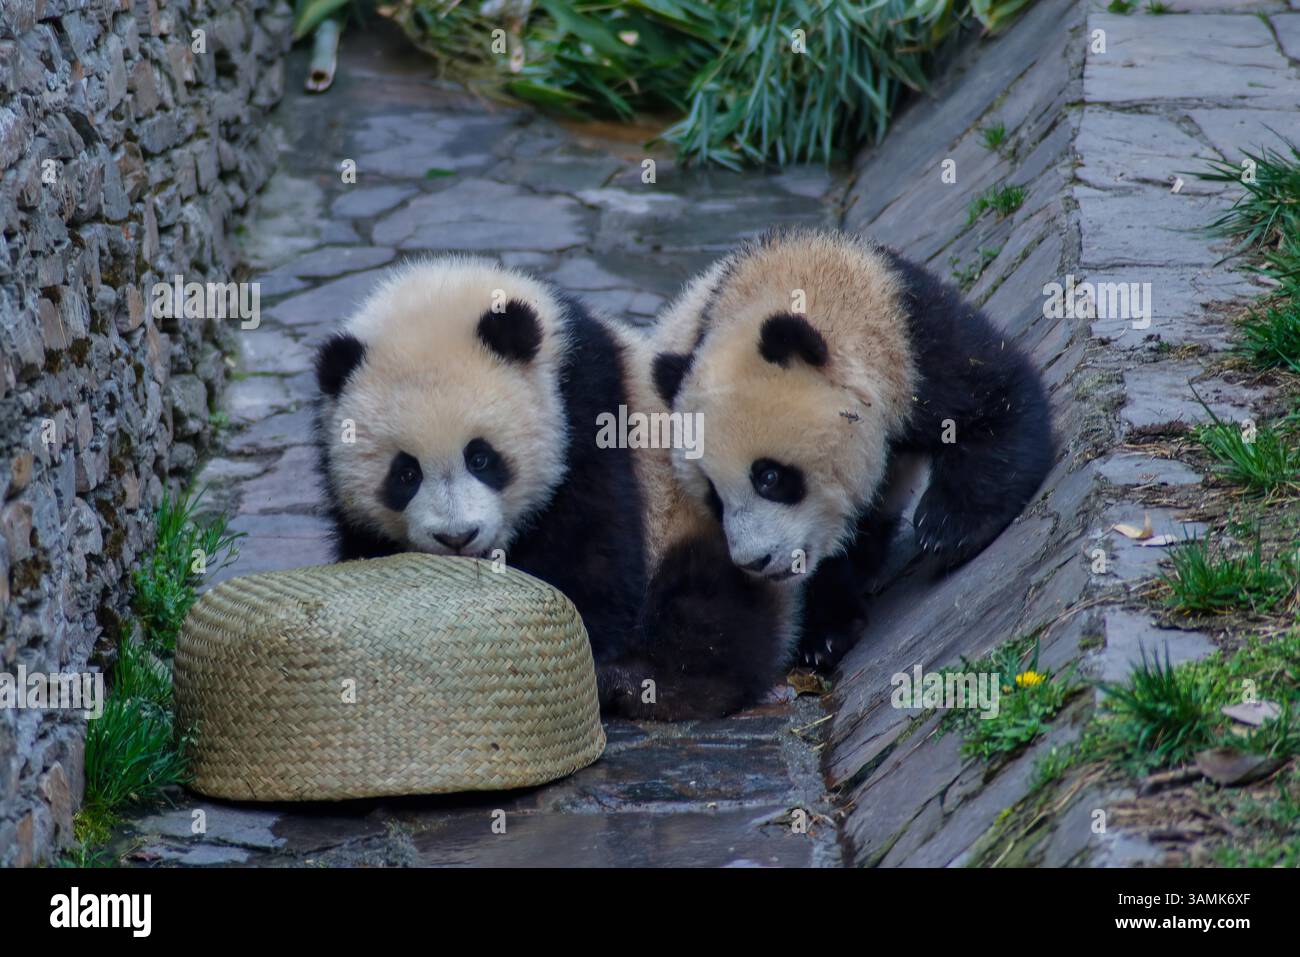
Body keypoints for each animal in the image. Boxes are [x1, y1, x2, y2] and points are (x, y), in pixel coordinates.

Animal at [649, 227, 1054, 670]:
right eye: (713, 498)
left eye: (769, 477)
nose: (755, 561)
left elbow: (993, 400)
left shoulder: (911, 336)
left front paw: (949, 527)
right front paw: (825, 632)